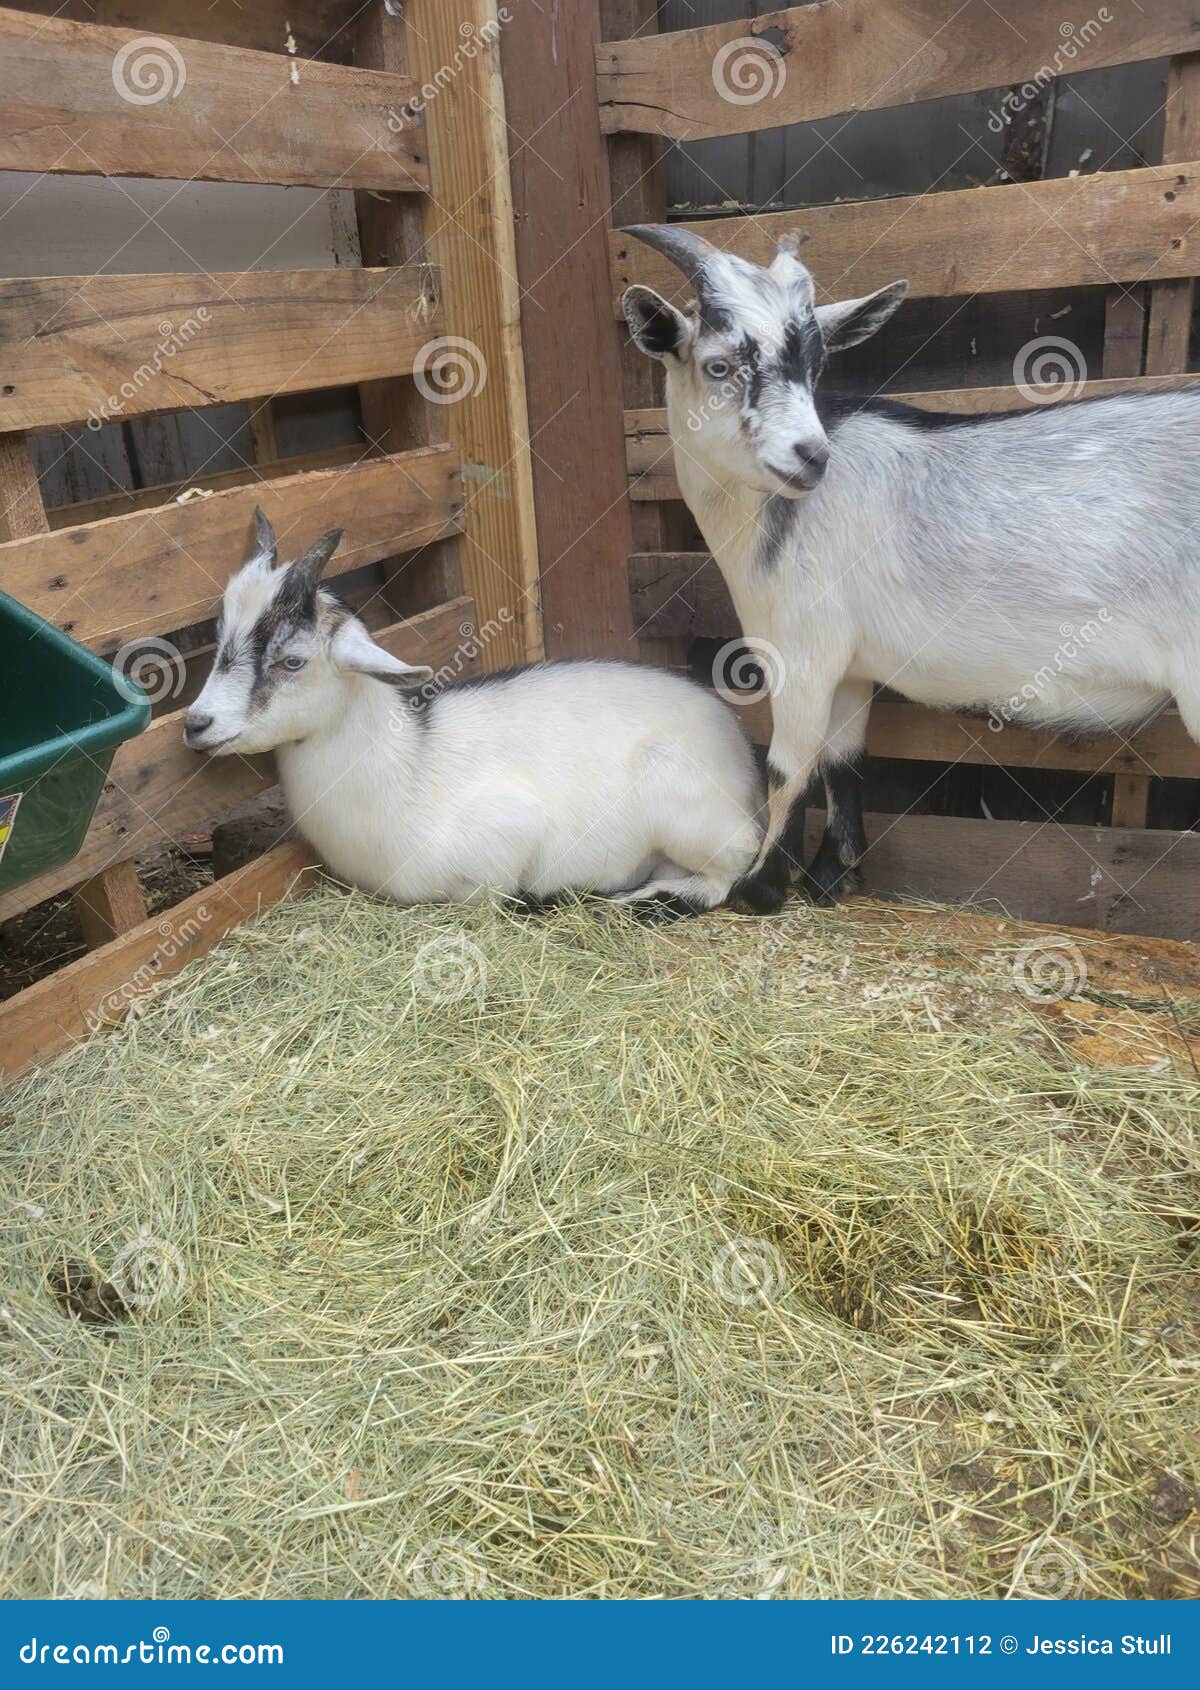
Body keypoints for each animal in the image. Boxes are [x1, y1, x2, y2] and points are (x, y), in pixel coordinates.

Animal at [183, 513, 764, 915]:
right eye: (218, 638)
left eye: (292, 660)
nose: (195, 724)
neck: (408, 763)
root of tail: (741, 754)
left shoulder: (508, 832)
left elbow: (490, 894)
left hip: (684, 801)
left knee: (728, 871)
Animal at [622, 223, 1200, 910]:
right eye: (718, 366)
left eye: (815, 367)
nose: (811, 456)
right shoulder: (850, 668)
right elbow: (843, 760)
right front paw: (831, 876)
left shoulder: (803, 649)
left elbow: (788, 767)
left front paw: (758, 888)